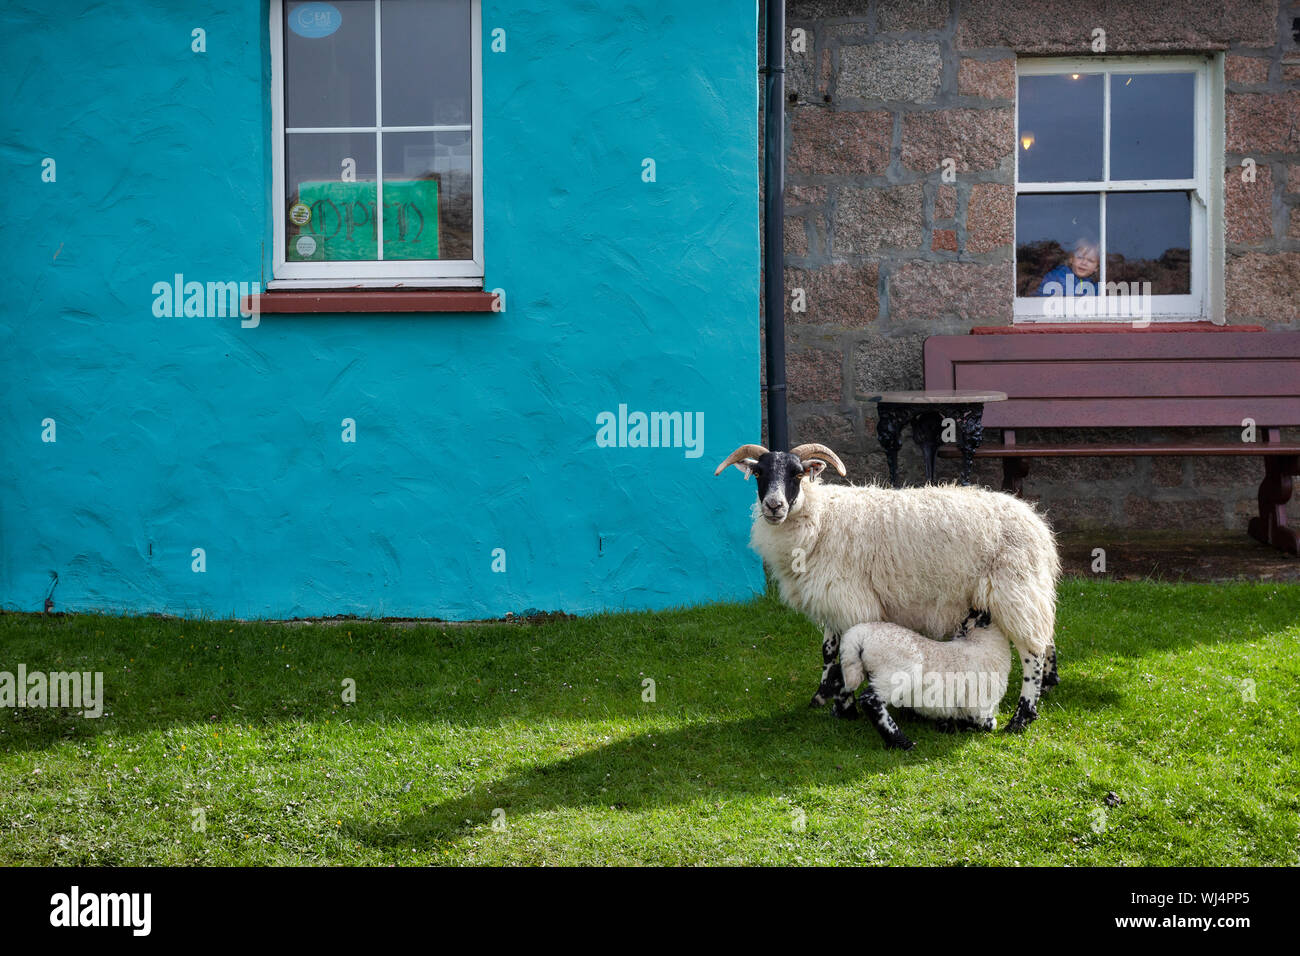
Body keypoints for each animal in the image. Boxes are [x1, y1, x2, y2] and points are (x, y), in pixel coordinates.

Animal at [839, 610, 1010, 750]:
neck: (981, 643)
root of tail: (861, 632)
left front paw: (945, 725)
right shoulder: (979, 705)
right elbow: (988, 724)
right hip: (893, 675)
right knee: (870, 700)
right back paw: (902, 743)